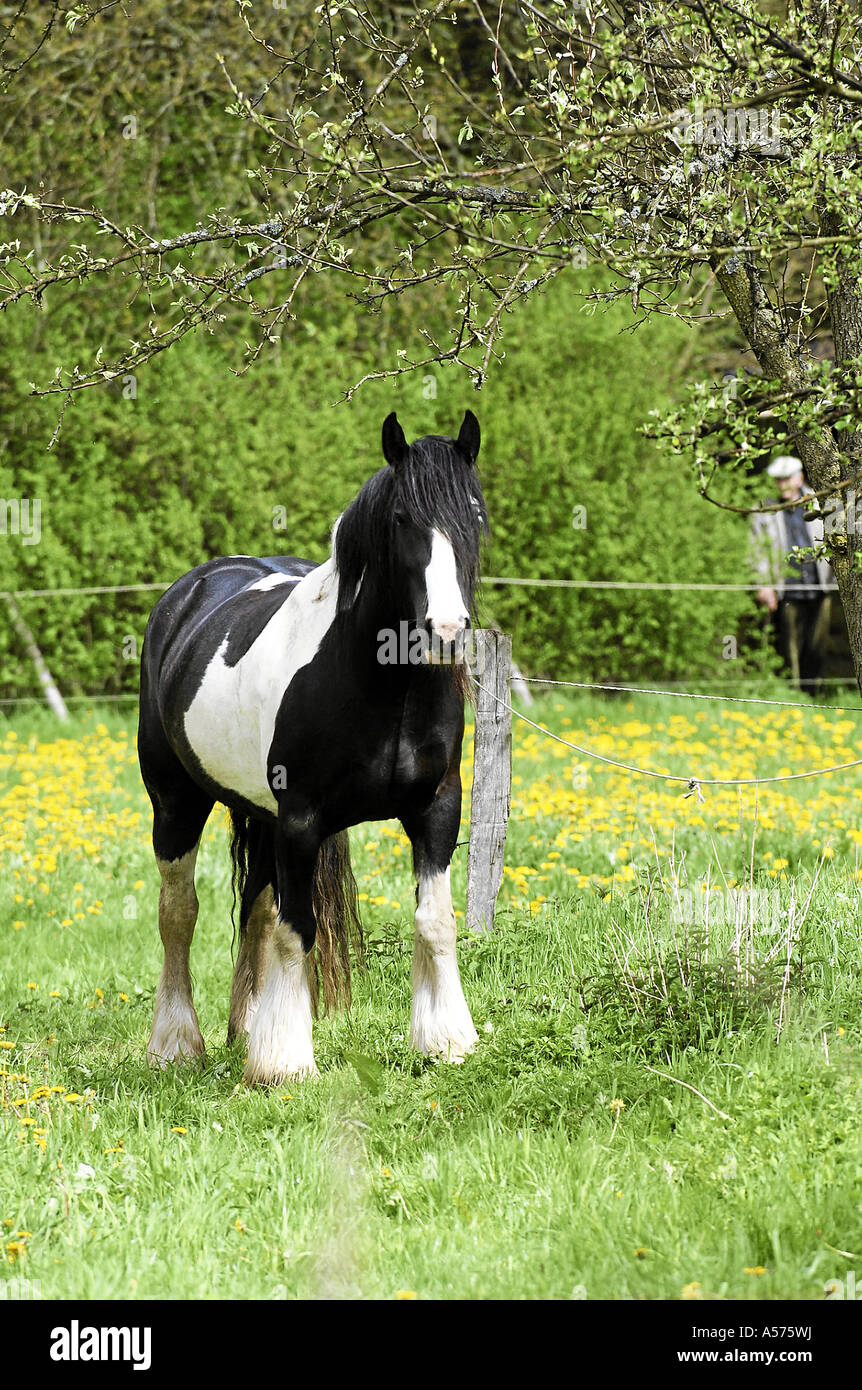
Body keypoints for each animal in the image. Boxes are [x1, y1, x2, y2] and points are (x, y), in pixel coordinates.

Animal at [137, 410, 487, 1085]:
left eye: (476, 513)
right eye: (401, 518)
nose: (446, 631)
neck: (385, 683)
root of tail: (191, 592)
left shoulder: (437, 807)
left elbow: (435, 920)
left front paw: (446, 1040)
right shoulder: (300, 820)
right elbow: (296, 931)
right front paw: (285, 1064)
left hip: (259, 816)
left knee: (255, 908)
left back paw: (246, 1027)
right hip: (176, 806)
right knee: (179, 914)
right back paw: (176, 1043)